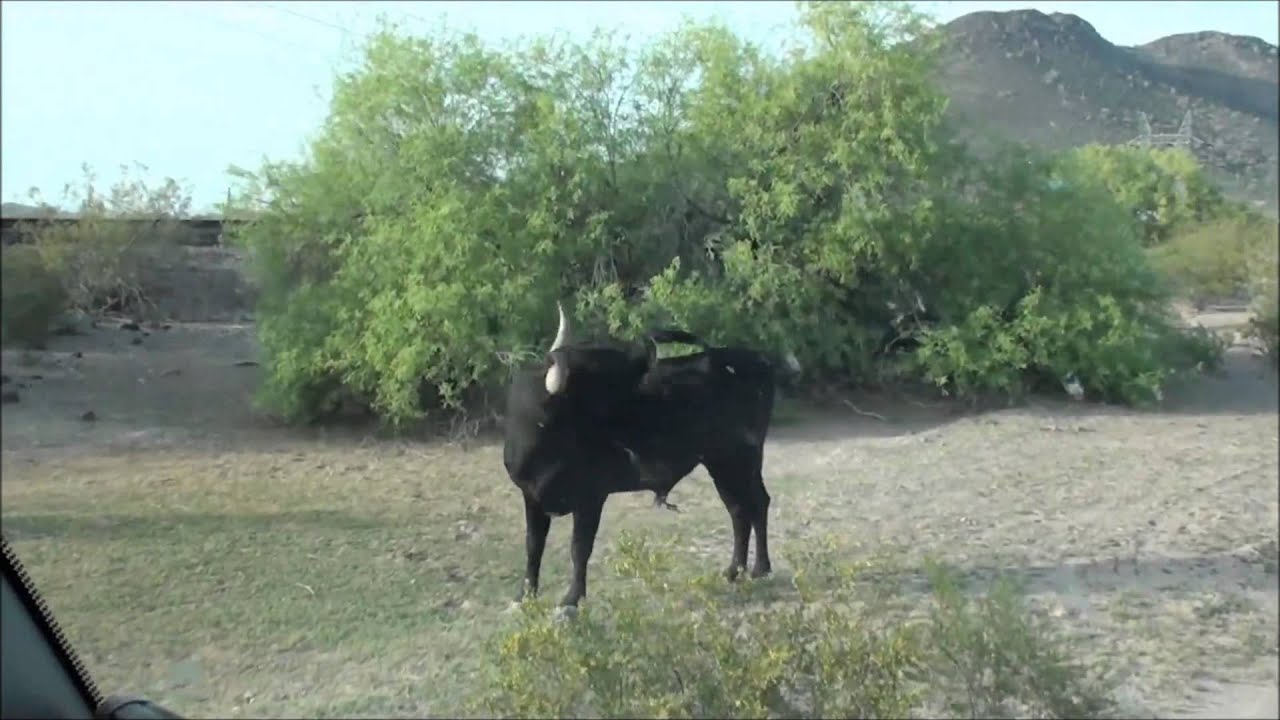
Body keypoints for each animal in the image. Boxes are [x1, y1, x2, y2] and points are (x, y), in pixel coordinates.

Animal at [503, 302, 778, 609]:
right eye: (605, 374)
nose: (649, 349)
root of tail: (758, 360)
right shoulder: (531, 496)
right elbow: (533, 546)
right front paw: (525, 594)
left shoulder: (591, 498)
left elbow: (579, 548)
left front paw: (571, 600)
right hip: (721, 463)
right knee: (739, 510)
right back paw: (735, 570)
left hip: (739, 460)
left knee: (756, 504)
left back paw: (759, 568)